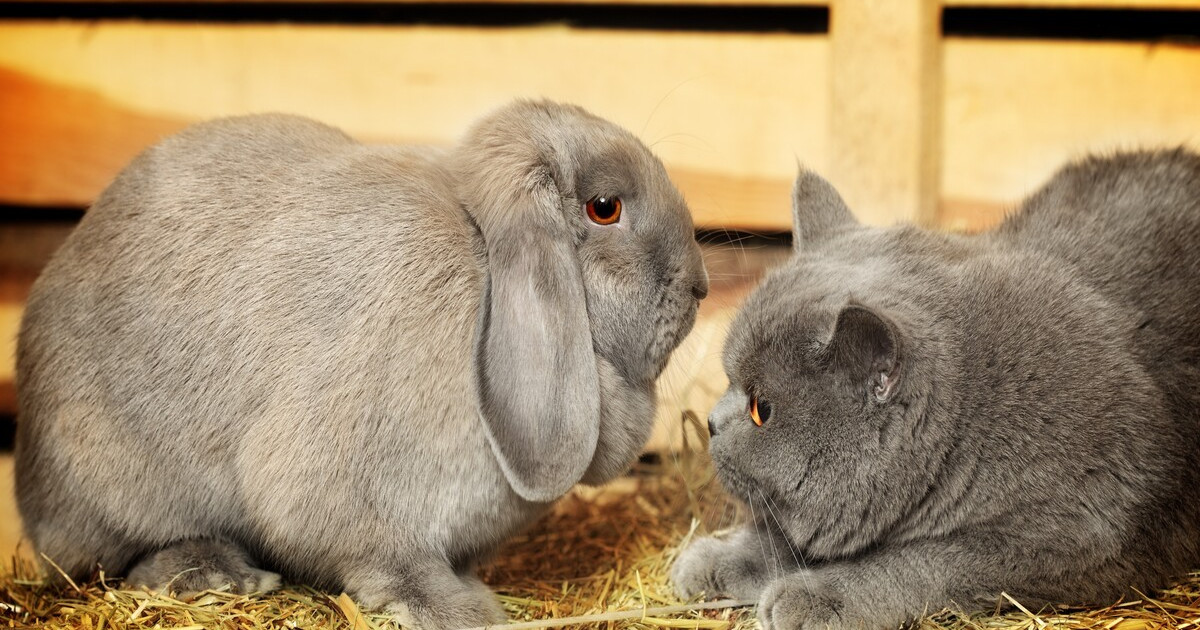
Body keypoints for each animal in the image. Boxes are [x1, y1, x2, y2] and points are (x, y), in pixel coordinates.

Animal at [16, 99, 709, 629]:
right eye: (604, 207)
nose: (700, 286)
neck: (483, 260)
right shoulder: (351, 498)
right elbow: (390, 564)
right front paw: (463, 611)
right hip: (107, 480)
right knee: (114, 559)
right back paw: (221, 573)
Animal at [671, 149, 1200, 630]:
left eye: (761, 408)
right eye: (729, 379)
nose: (712, 421)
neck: (977, 424)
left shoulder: (1075, 532)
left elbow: (923, 561)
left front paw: (819, 596)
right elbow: (786, 536)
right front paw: (716, 559)